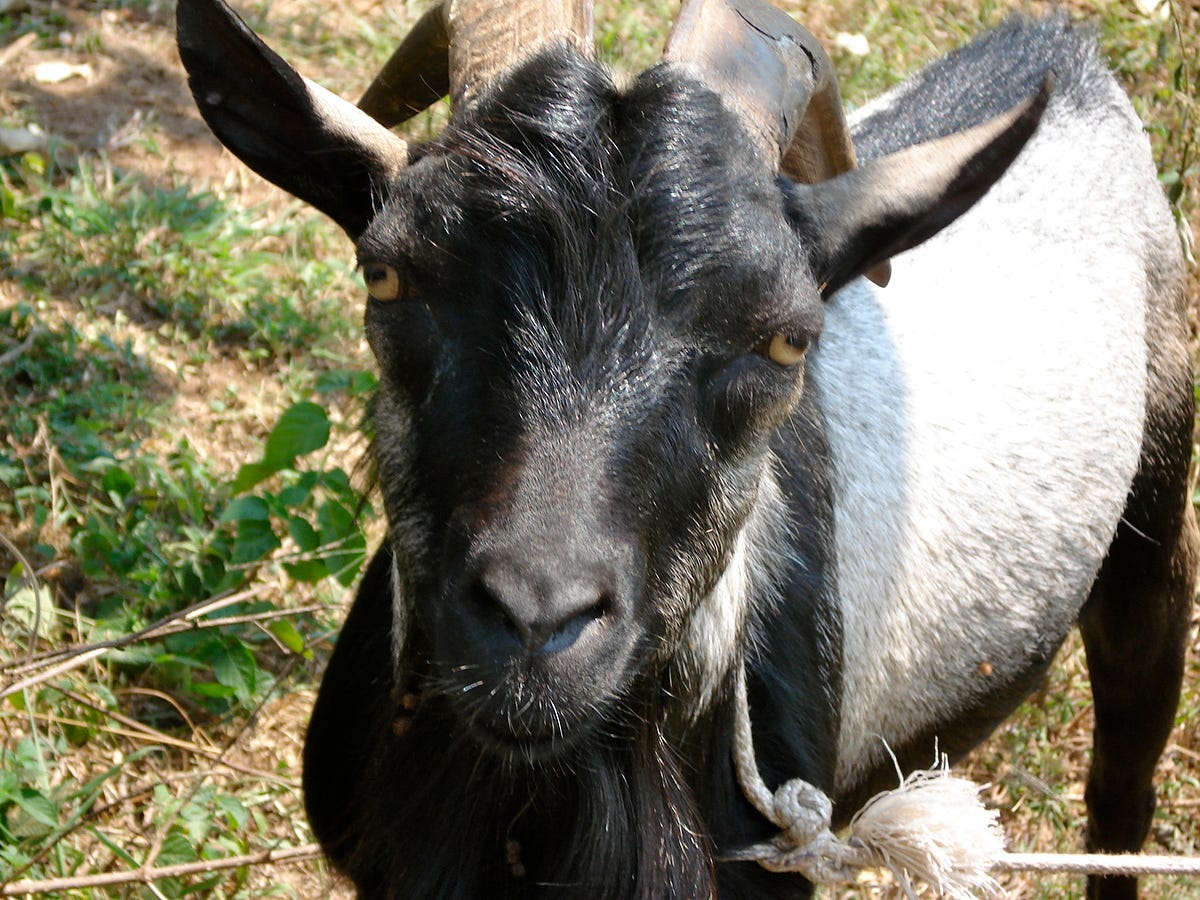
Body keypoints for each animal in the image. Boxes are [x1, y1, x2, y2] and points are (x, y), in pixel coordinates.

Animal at [176, 0, 1196, 897]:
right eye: (387, 275)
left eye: (786, 339)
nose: (536, 623)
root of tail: (1063, 50)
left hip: (1152, 535)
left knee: (1120, 792)